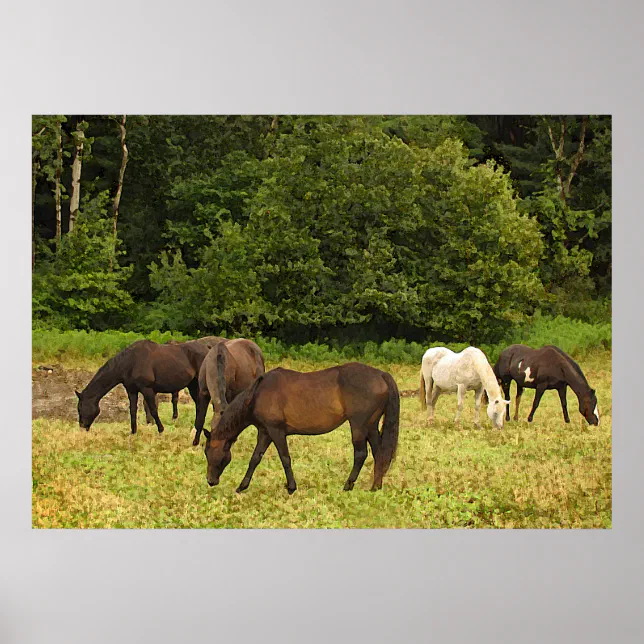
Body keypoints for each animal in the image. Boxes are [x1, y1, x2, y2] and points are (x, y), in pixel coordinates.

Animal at [75, 339, 210, 434]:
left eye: (80, 408)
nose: (82, 426)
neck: (130, 362)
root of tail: (208, 349)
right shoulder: (131, 391)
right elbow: (133, 410)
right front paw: (133, 432)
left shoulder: (147, 389)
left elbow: (153, 410)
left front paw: (161, 429)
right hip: (192, 385)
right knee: (199, 405)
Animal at [203, 362, 400, 494]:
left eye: (209, 452)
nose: (210, 481)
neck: (257, 394)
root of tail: (381, 375)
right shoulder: (265, 433)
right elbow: (255, 459)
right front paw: (242, 486)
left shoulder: (276, 431)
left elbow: (285, 458)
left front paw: (291, 487)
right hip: (371, 426)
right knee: (379, 454)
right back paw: (375, 487)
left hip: (358, 426)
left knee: (361, 454)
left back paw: (348, 485)